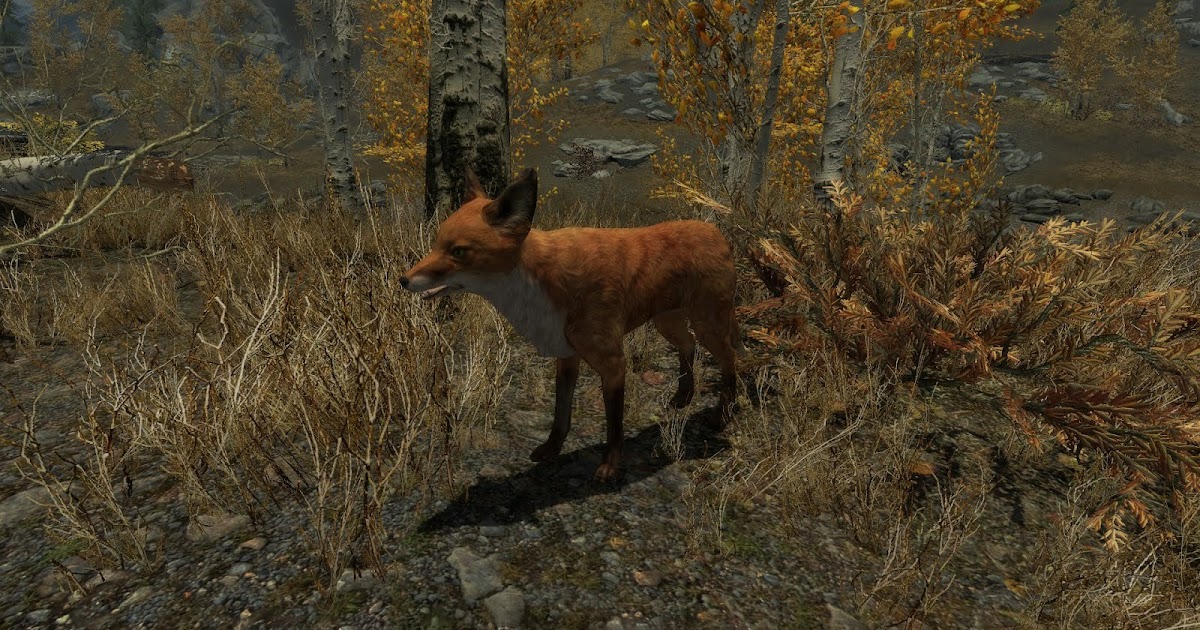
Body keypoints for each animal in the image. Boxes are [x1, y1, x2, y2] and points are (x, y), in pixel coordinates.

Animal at [400, 167, 741, 482]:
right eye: (436, 245)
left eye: (458, 251)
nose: (403, 280)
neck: (545, 282)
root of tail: (716, 232)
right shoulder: (566, 356)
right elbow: (560, 416)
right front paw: (551, 450)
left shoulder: (614, 365)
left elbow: (614, 427)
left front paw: (610, 467)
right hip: (667, 323)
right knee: (689, 346)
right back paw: (683, 398)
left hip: (707, 325)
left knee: (730, 359)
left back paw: (722, 414)